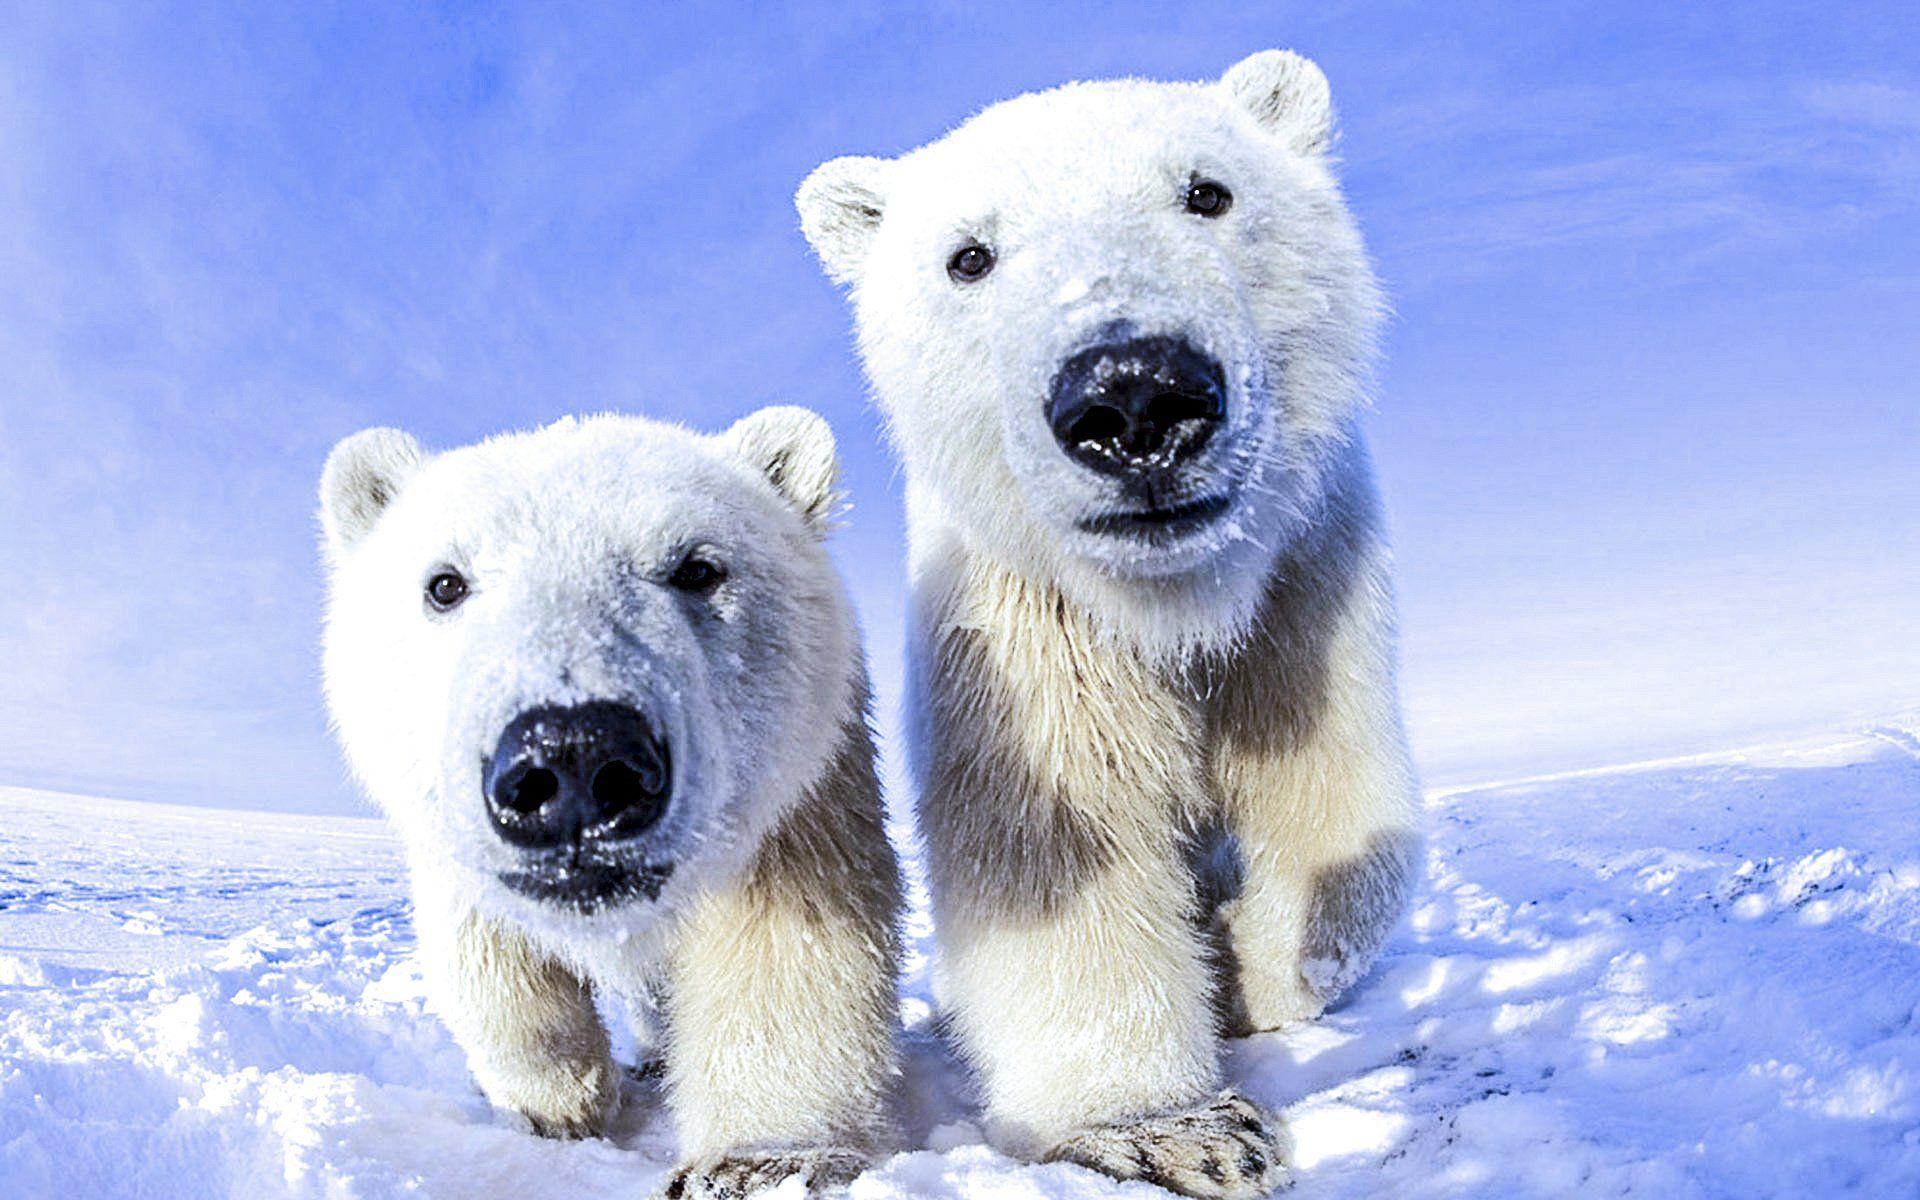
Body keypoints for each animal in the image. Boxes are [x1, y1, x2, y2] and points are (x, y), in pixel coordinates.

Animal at [318, 409, 901, 1199]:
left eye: (697, 568)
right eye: (444, 583)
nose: (573, 759)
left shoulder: (805, 792)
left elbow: (790, 949)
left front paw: (758, 1161)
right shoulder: (451, 840)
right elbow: (488, 957)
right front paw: (554, 1104)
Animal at [796, 50, 1421, 1197]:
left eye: (1208, 192)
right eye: (969, 256)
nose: (1133, 396)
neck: (1175, 605)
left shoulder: (1306, 592)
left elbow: (1341, 809)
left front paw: (1243, 967)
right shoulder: (1029, 632)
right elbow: (1058, 845)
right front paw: (1173, 1128)